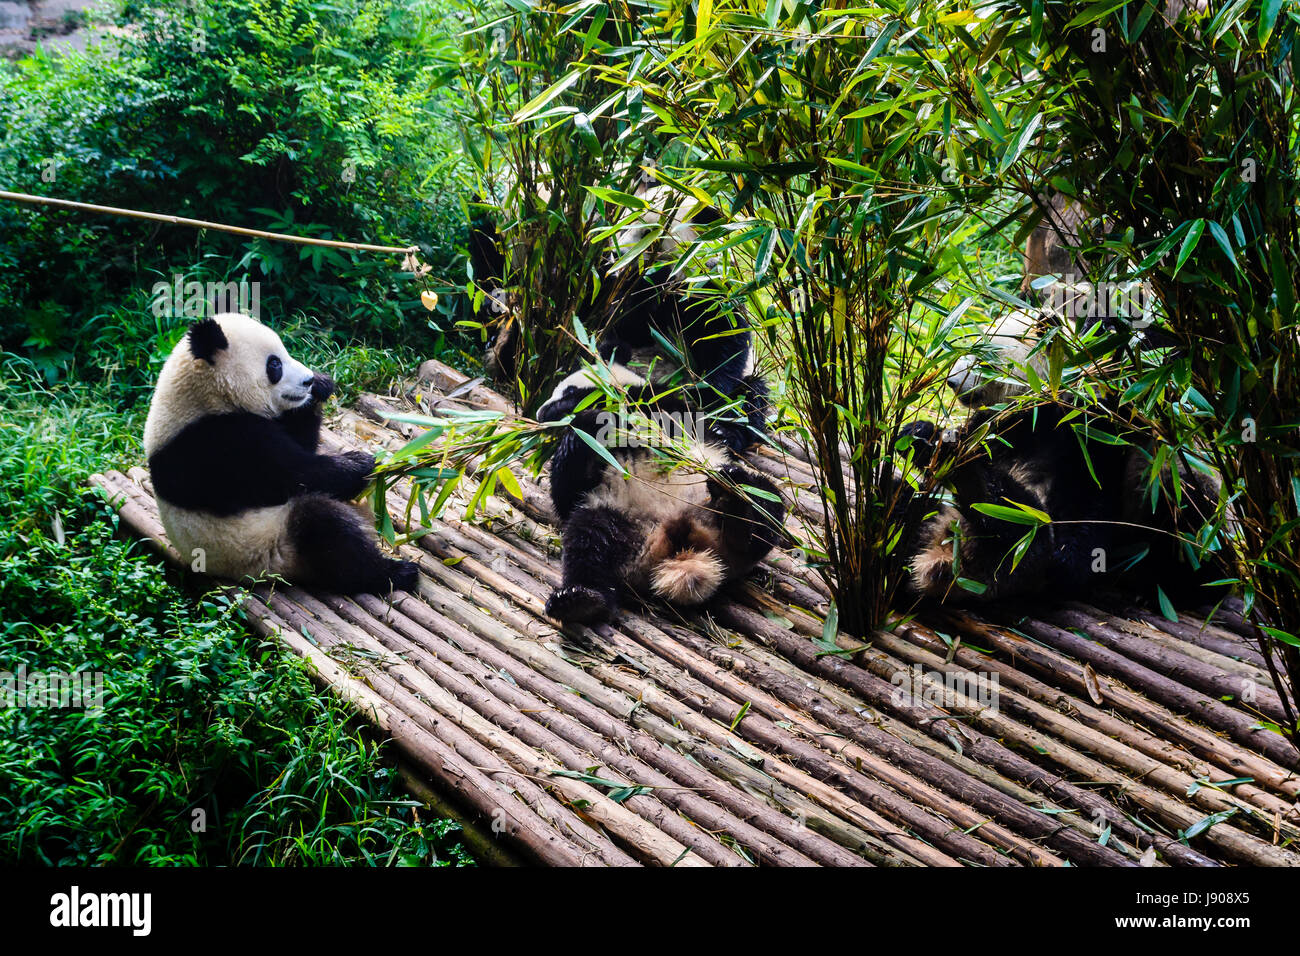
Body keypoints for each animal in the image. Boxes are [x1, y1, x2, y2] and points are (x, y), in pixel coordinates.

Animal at [143, 313, 418, 595]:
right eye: (274, 364)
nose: (307, 381)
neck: (206, 397)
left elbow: (302, 443)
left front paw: (321, 385)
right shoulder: (218, 444)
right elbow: (296, 475)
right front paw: (362, 463)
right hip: (266, 545)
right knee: (325, 528)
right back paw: (395, 573)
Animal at [535, 359, 786, 625]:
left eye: (569, 390)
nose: (540, 413)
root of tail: (682, 542)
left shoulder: (660, 403)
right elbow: (566, 491)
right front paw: (581, 430)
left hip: (715, 496)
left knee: (764, 505)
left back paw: (733, 497)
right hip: (619, 514)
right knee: (588, 538)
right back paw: (580, 600)